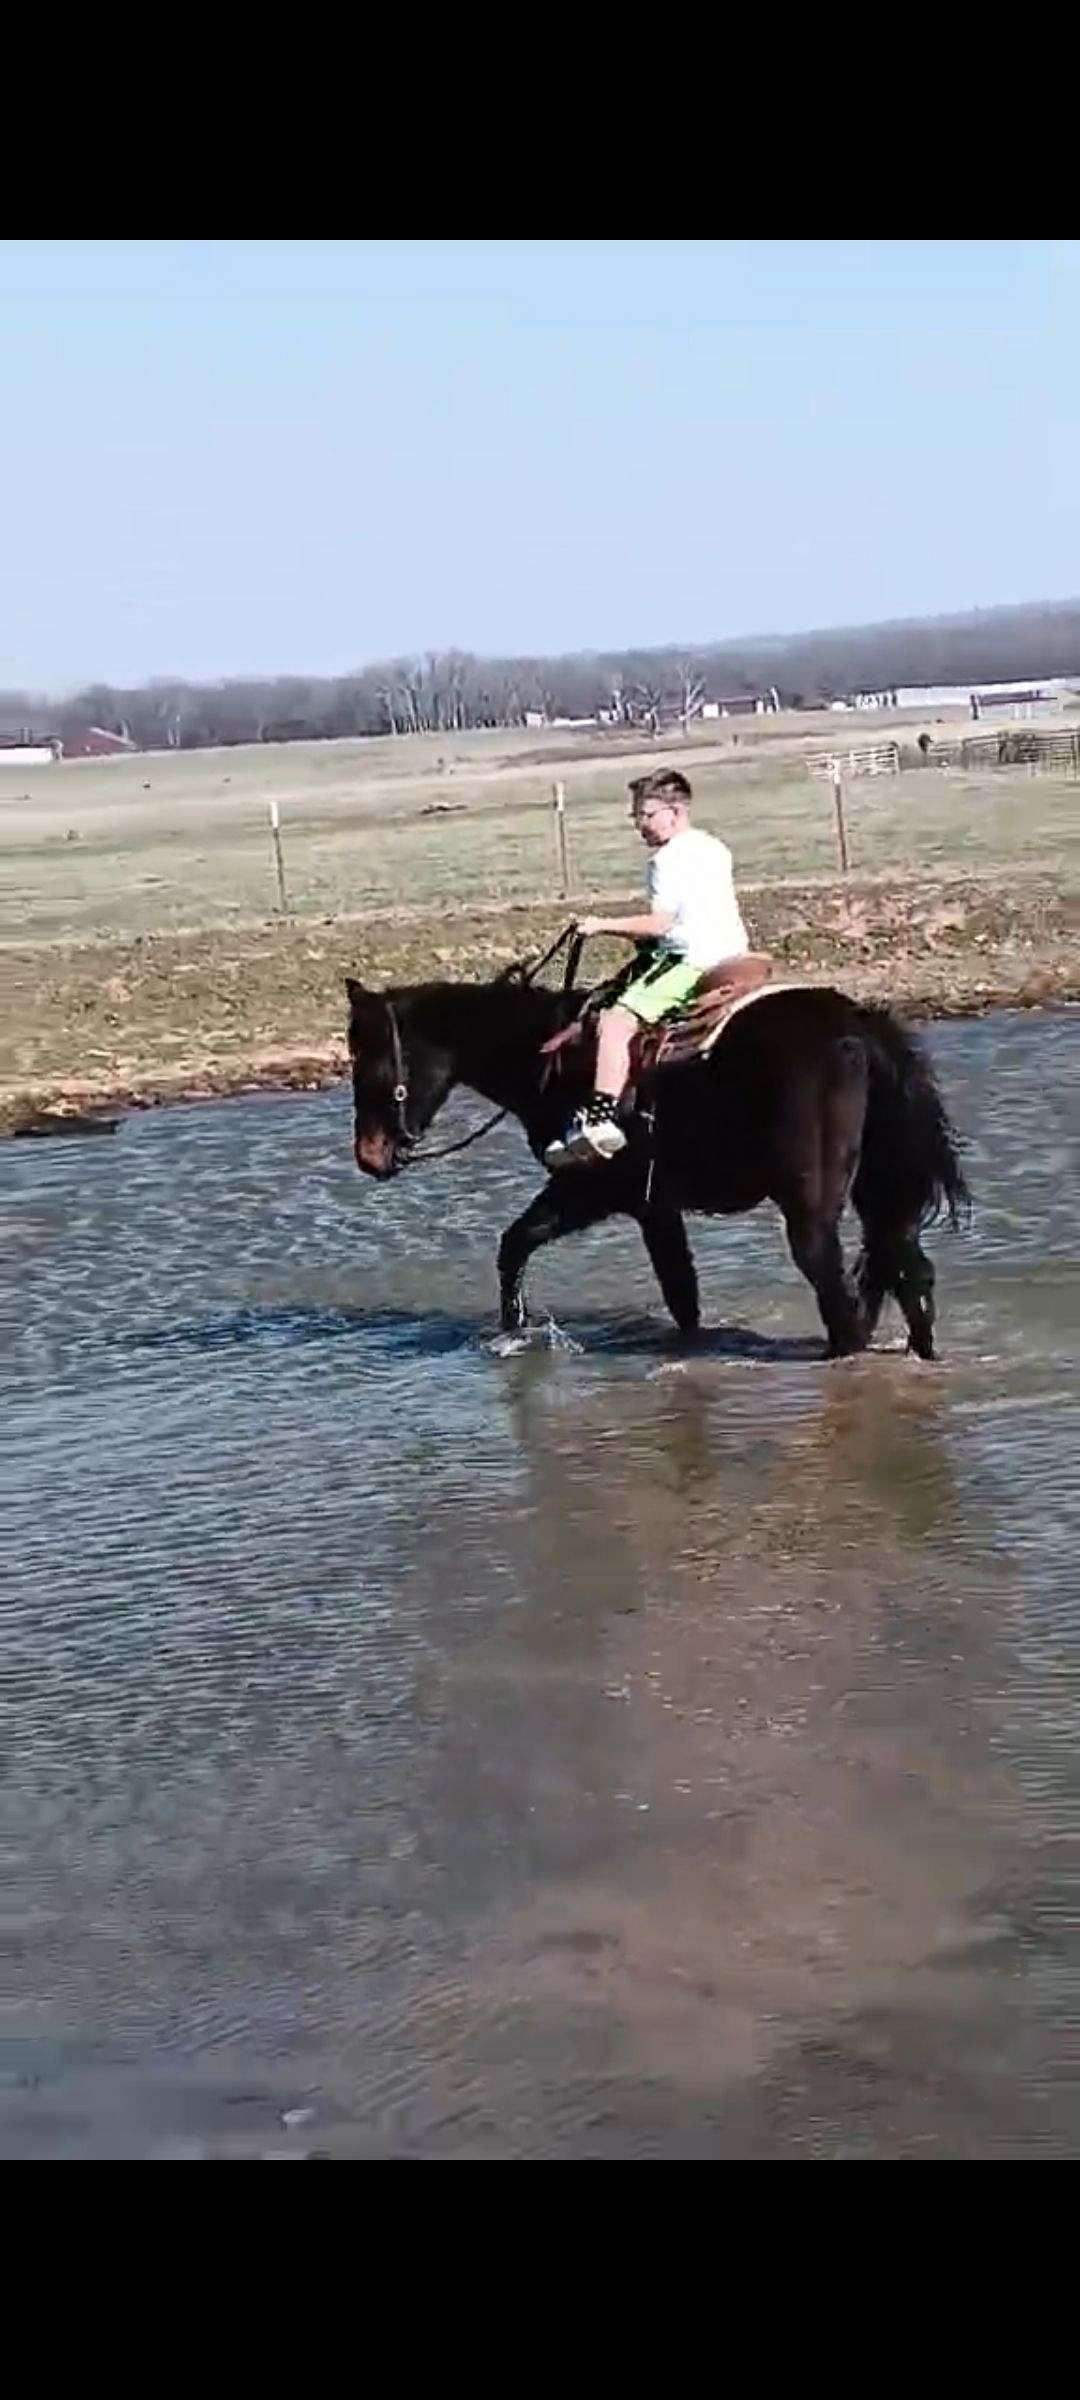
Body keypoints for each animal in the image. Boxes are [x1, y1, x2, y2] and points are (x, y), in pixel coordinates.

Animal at [345, 966, 970, 1358]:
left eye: (369, 1061)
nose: (368, 1158)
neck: (553, 1058)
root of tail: (858, 1029)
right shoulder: (653, 1207)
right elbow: (680, 1293)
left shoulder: (592, 1190)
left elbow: (517, 1243)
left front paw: (513, 1334)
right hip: (881, 1190)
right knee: (907, 1272)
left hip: (811, 1207)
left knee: (840, 1295)